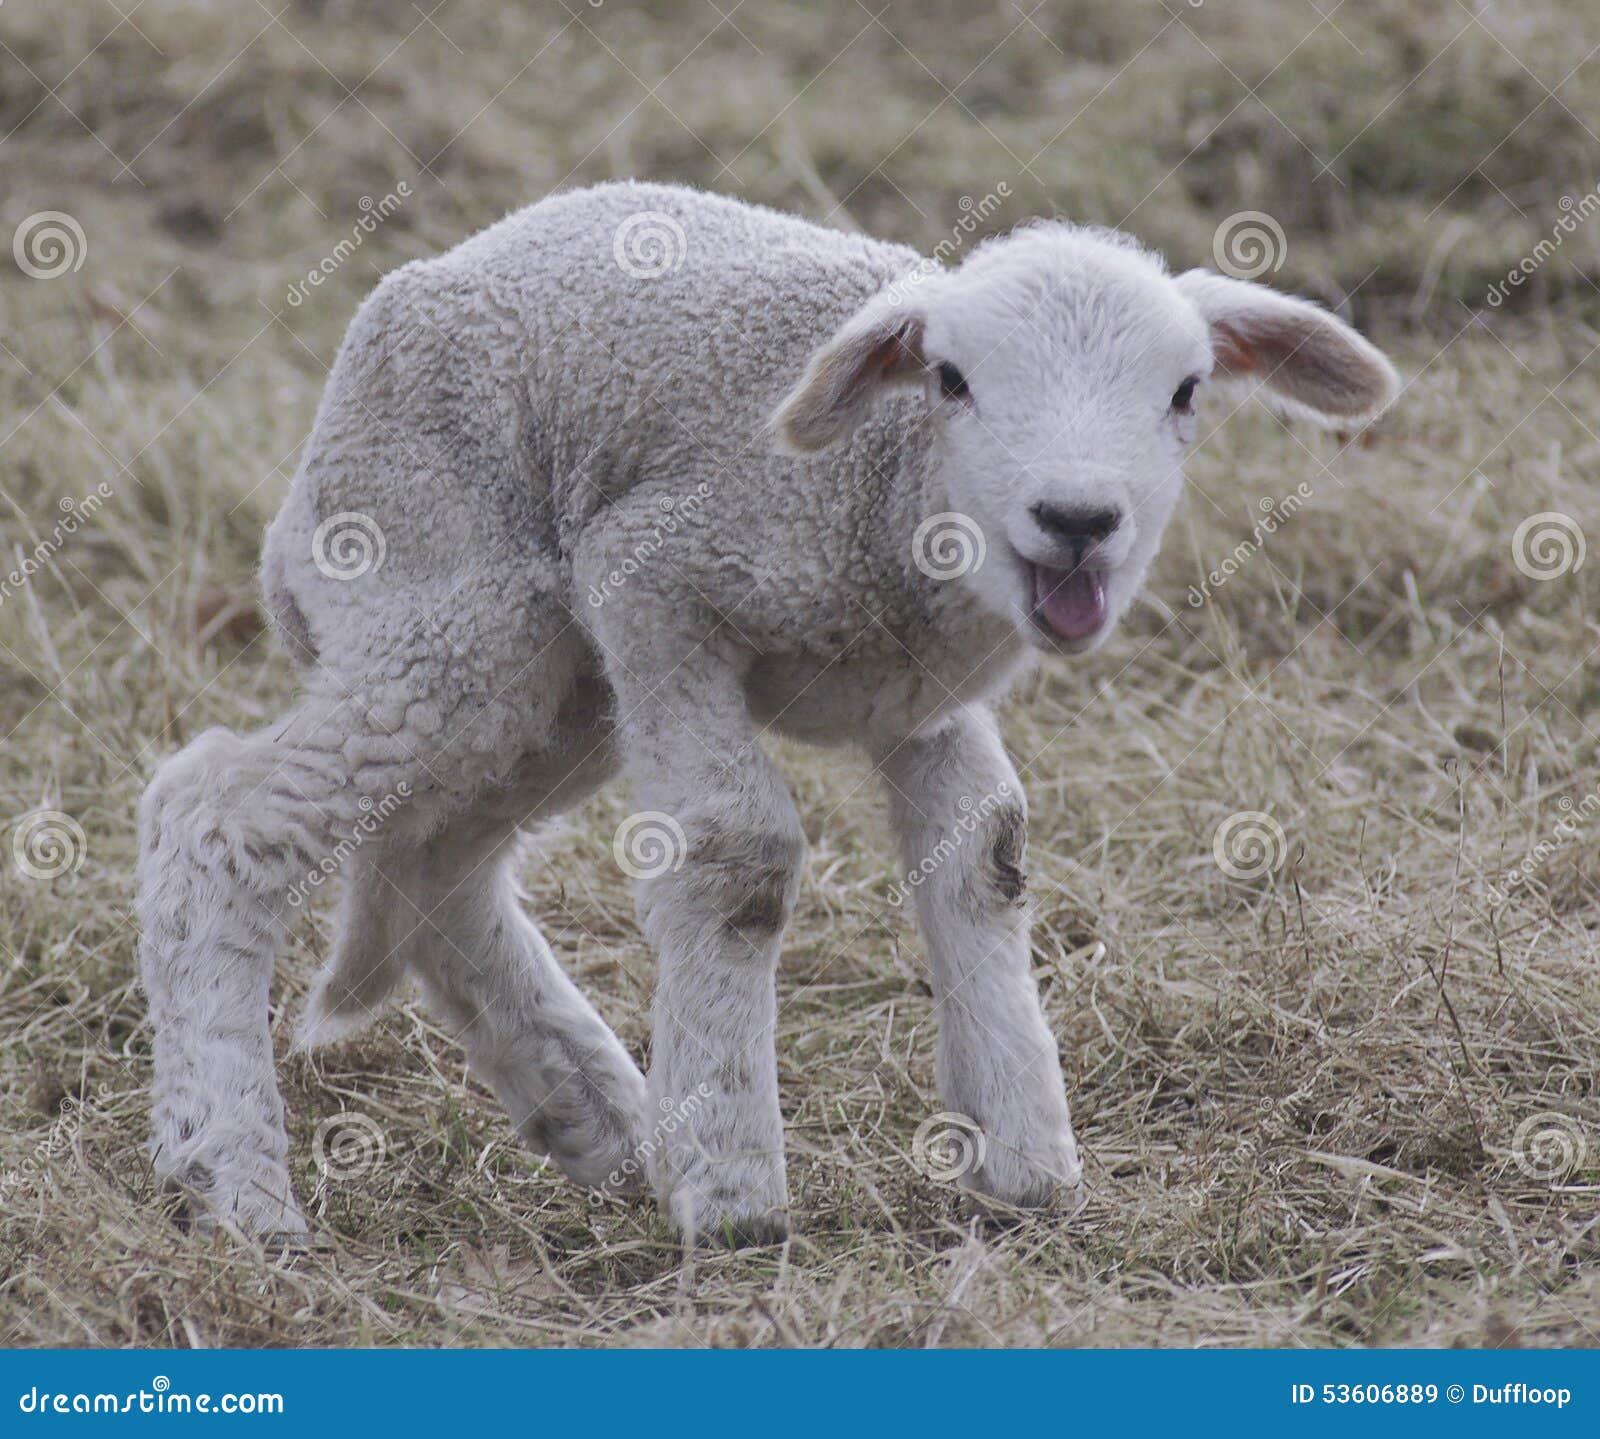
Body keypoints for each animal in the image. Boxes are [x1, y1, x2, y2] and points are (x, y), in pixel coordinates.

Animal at [136, 180, 1399, 1246]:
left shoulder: (918, 696)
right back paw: (233, 1183)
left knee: (439, 866)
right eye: (951, 380)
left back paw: (607, 1122)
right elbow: (738, 855)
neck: (888, 486)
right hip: (448, 600)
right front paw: (735, 1189)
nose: (1078, 519)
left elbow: (985, 854)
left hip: (558, 683)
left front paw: (1023, 1163)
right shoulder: (658, 579)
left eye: (1185, 392)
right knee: (217, 812)